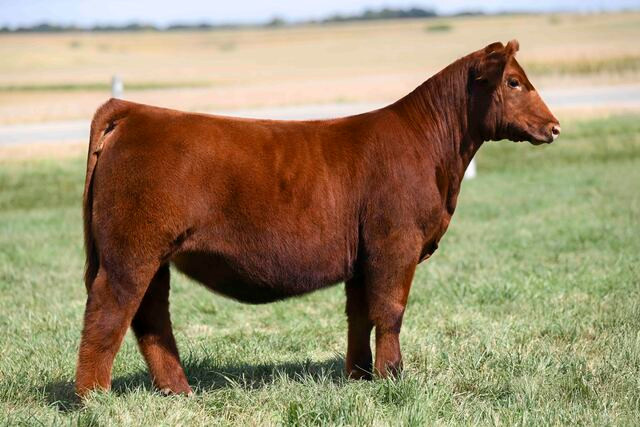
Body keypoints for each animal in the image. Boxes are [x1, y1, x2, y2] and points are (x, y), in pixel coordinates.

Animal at [76, 40, 560, 397]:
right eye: (514, 82)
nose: (555, 126)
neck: (435, 154)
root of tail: (134, 111)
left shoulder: (364, 258)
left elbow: (360, 314)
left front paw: (360, 377)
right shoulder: (395, 244)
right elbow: (390, 311)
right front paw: (392, 379)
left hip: (152, 256)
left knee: (150, 317)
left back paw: (179, 391)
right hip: (130, 253)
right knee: (108, 312)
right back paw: (93, 399)